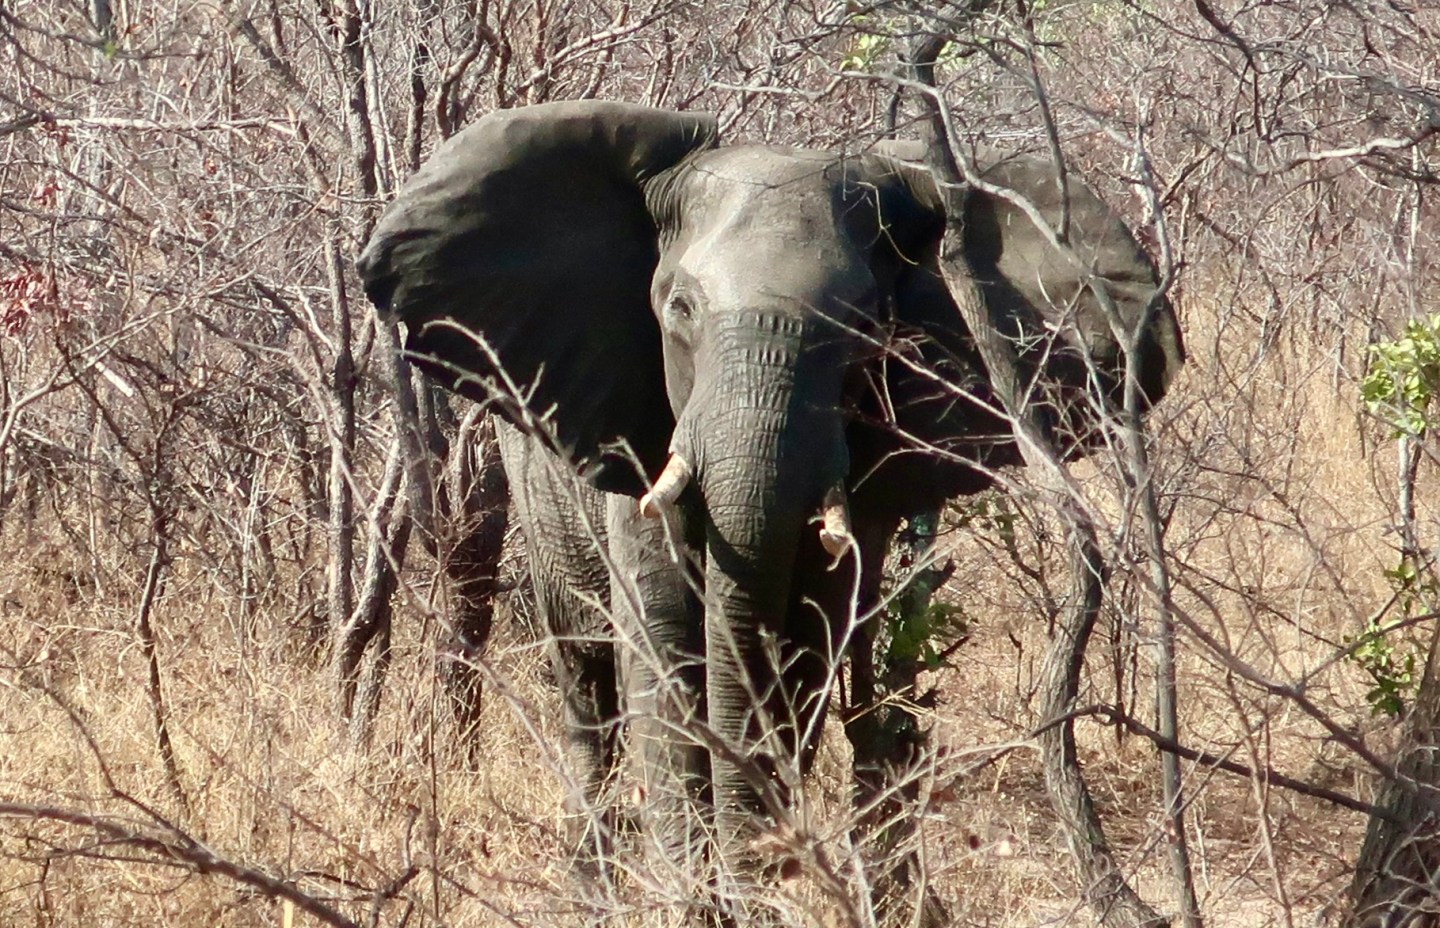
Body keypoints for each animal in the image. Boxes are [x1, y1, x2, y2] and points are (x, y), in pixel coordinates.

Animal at [357, 99, 1184, 905]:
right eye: (680, 309)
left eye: (865, 327)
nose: (747, 875)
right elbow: (662, 647)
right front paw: (694, 899)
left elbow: (806, 646)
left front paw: (754, 886)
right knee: (587, 685)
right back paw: (593, 889)